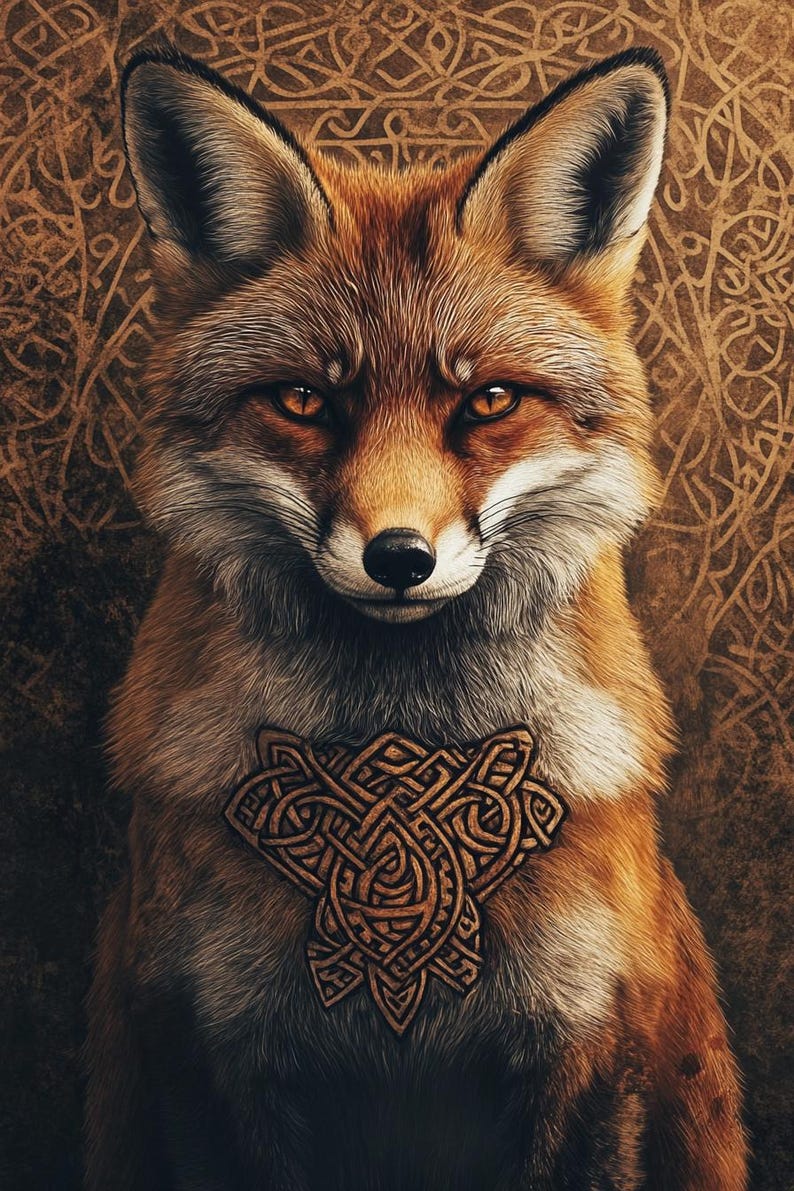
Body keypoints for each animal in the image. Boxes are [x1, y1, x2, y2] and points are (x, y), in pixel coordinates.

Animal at [85, 43, 748, 1190]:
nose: (399, 558)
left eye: (486, 401)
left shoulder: (586, 1037)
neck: (394, 744)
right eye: (306, 401)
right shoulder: (209, 1044)